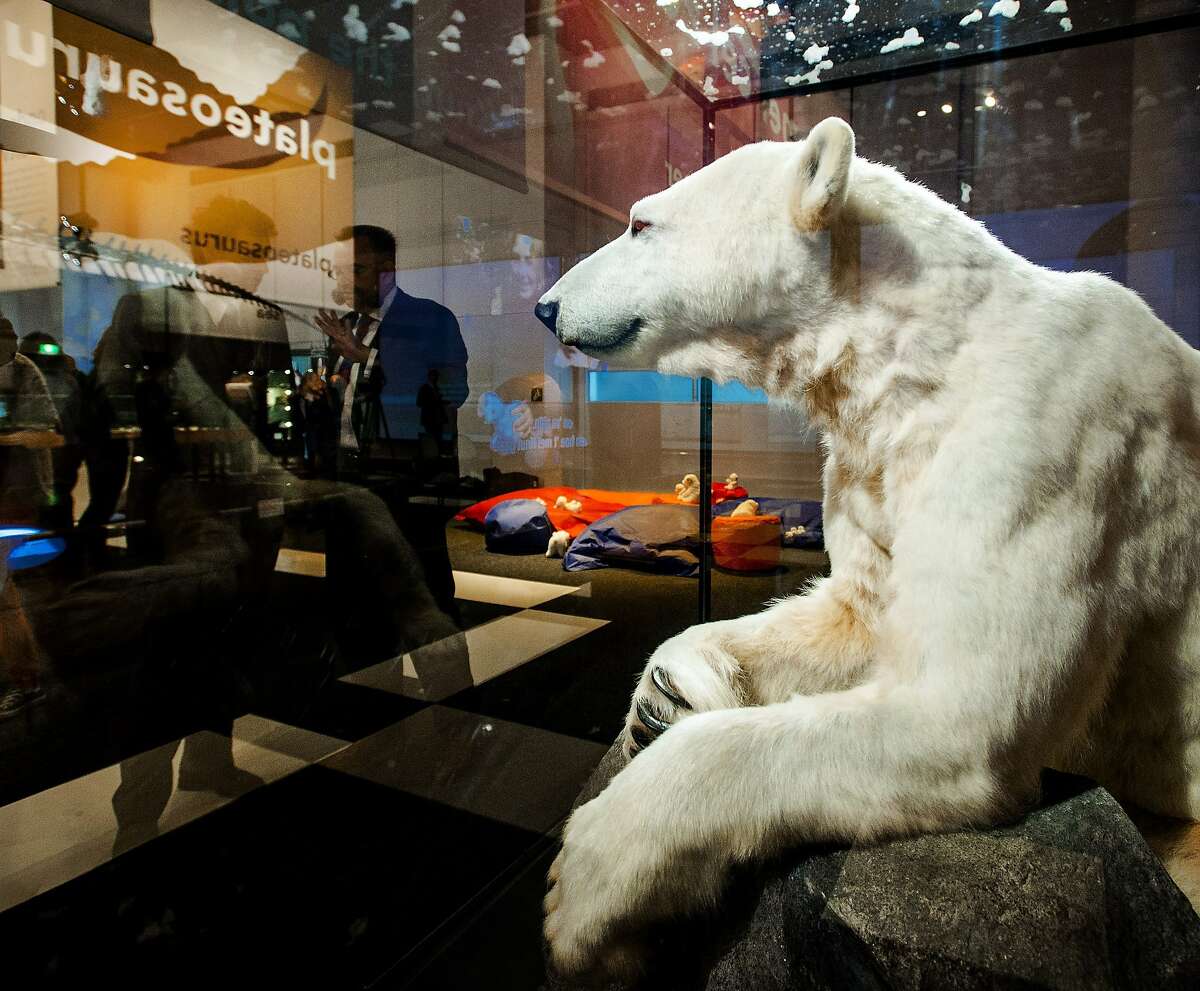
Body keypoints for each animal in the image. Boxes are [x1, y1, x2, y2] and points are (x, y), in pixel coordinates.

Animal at [534, 116, 1200, 979]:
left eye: (639, 223)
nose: (545, 305)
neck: (921, 350)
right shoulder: (868, 462)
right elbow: (851, 613)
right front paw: (668, 691)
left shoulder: (1040, 442)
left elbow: (964, 708)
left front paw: (583, 892)